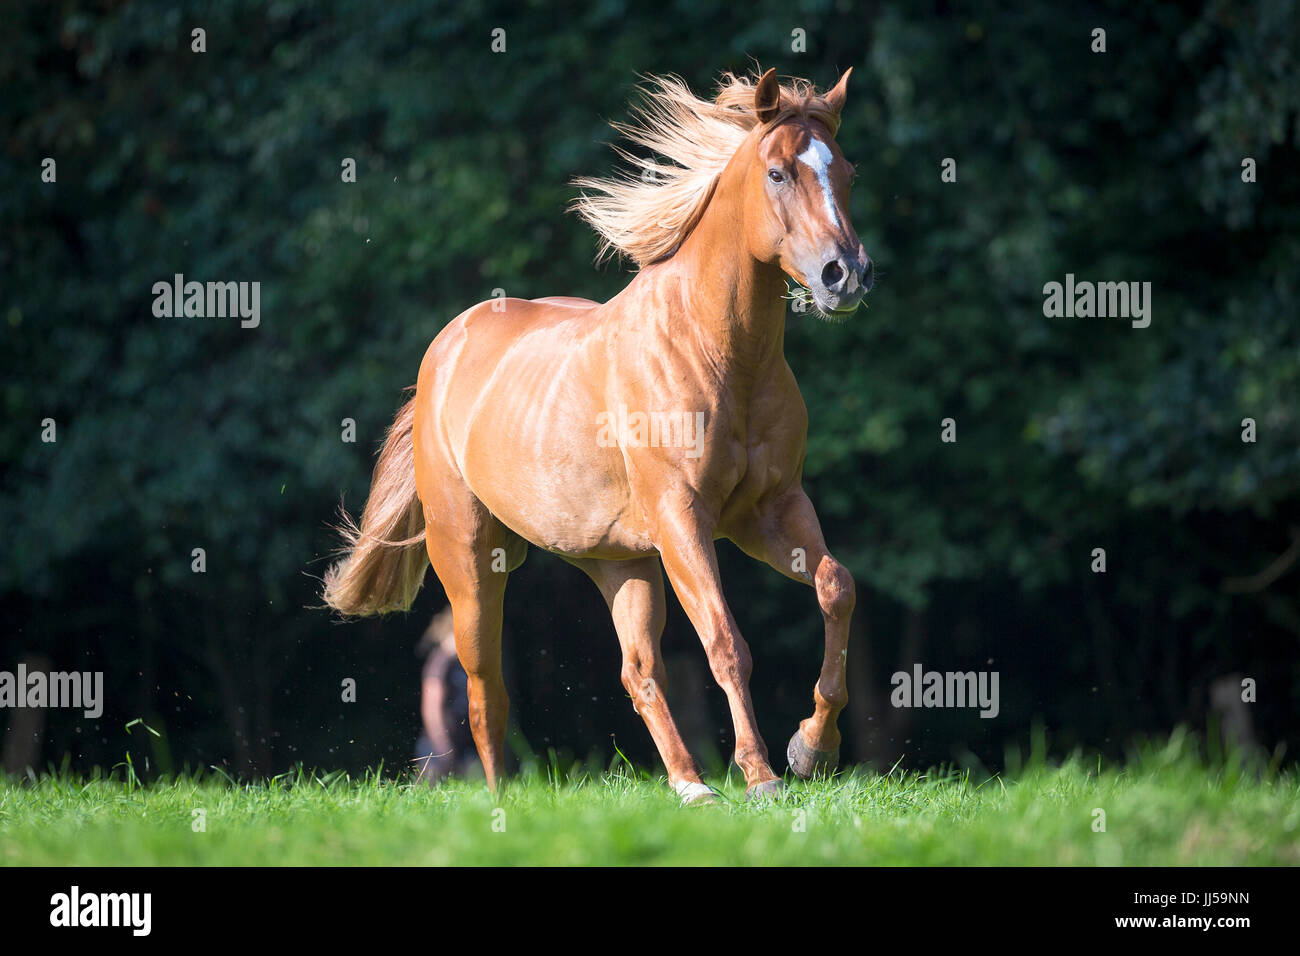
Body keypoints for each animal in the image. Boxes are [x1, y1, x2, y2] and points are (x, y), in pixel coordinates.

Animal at [323, 68, 873, 803]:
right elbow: (726, 642)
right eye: (778, 172)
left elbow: (836, 586)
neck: (719, 352)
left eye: (846, 171)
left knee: (638, 671)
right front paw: (761, 776)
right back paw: (504, 804)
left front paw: (812, 749)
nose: (846, 275)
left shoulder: (769, 511)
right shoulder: (683, 520)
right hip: (469, 561)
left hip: (622, 564)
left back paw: (691, 785)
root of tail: (446, 349)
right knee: (483, 689)